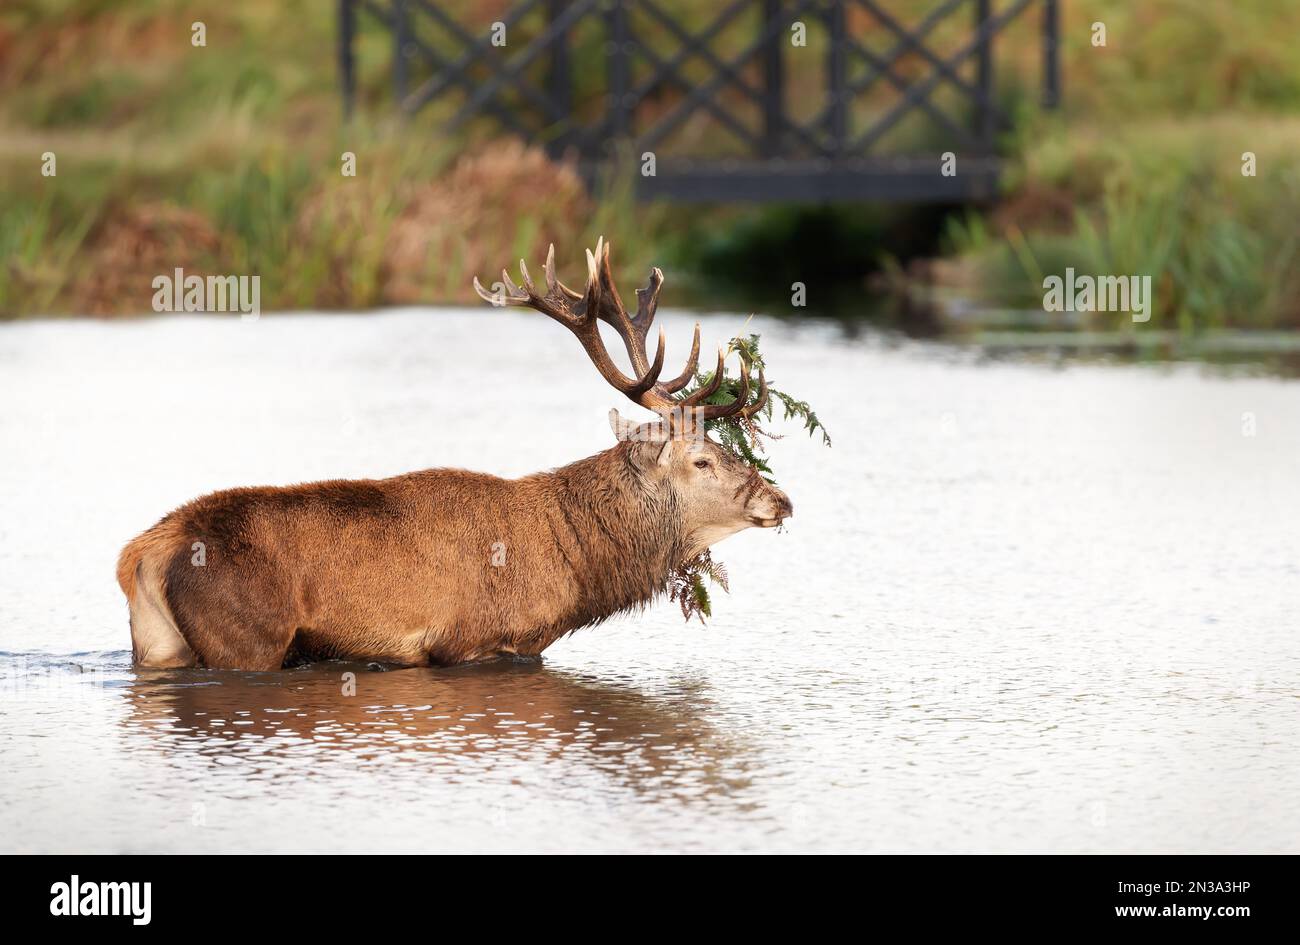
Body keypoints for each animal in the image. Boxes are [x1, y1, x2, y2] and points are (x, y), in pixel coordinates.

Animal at [116, 240, 793, 670]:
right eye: (701, 460)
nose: (781, 499)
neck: (573, 570)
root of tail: (143, 552)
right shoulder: (472, 642)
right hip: (248, 640)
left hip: (158, 645)